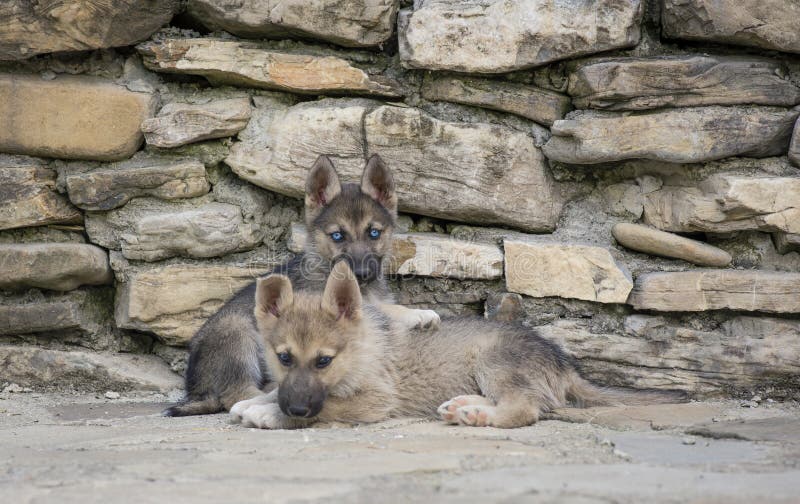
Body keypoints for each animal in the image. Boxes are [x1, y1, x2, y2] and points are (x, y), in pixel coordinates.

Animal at [164, 155, 439, 417]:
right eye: (337, 236)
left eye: (374, 233)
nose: (362, 273)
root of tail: (196, 389)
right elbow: (385, 309)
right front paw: (419, 313)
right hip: (237, 330)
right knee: (236, 393)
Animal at [230, 261, 686, 429]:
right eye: (283, 357)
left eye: (324, 361)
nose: (295, 408)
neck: (359, 351)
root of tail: (563, 362)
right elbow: (273, 391)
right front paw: (255, 401)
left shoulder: (375, 400)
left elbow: (328, 408)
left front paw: (270, 414)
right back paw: (462, 404)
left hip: (493, 359)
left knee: (526, 408)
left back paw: (476, 414)